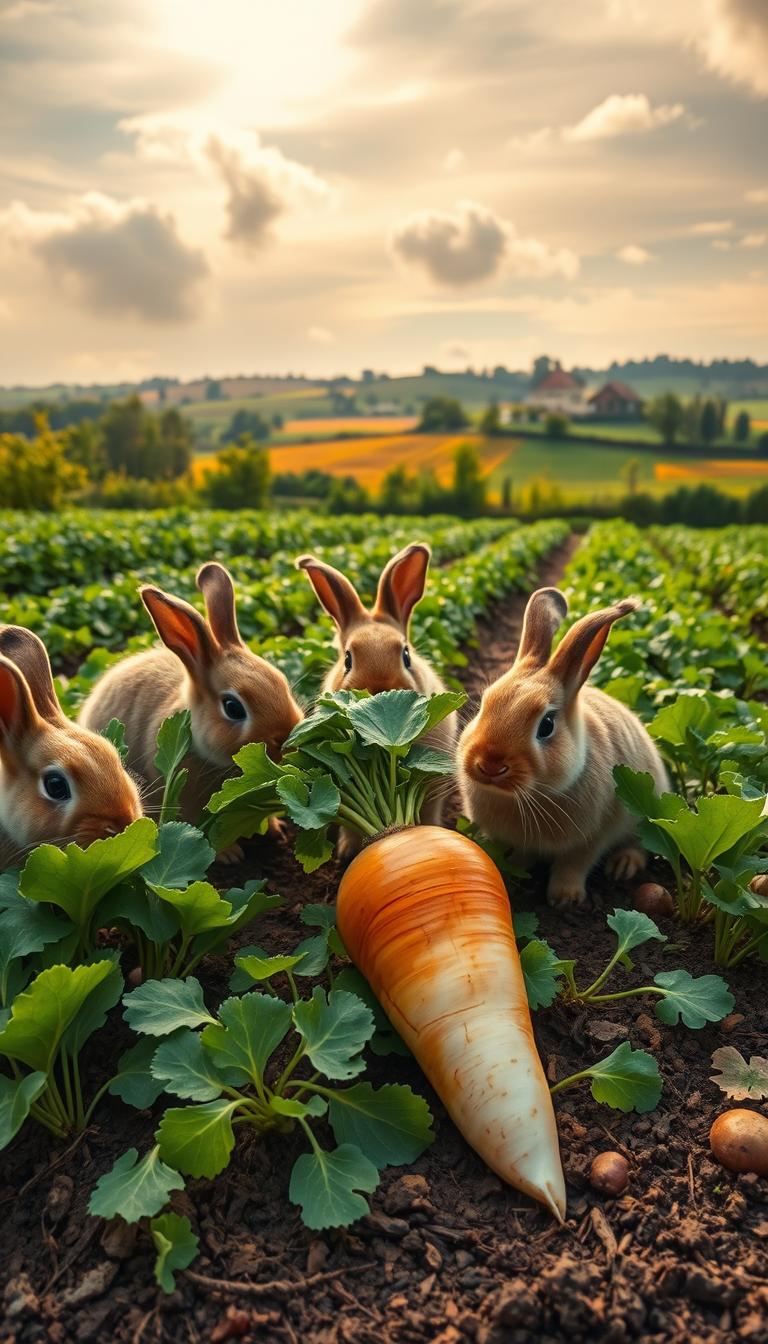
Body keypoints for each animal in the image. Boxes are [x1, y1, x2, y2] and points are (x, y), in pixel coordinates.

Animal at [457, 586, 668, 908]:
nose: (489, 765)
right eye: (484, 705)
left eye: (546, 725)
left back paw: (622, 866)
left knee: (639, 841)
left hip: (642, 809)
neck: (529, 795)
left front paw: (564, 899)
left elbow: (574, 864)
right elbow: (519, 859)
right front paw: (514, 876)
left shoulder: (591, 838)